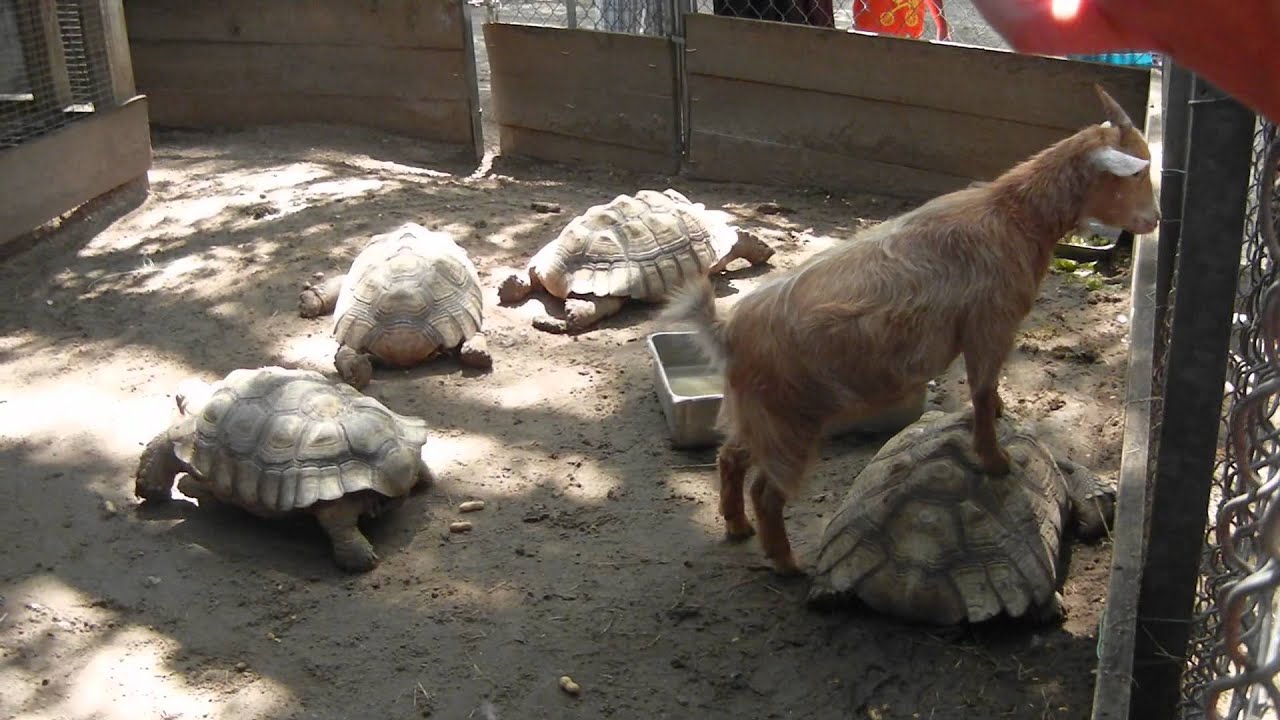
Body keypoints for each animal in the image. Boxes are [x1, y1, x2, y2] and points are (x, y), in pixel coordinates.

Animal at [661, 85, 1158, 576]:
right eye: (1136, 173)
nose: (1153, 220)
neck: (1014, 215)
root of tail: (725, 331)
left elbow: (989, 390)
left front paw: (1000, 418)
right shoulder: (990, 324)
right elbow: (981, 391)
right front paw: (995, 460)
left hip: (756, 414)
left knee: (730, 457)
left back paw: (736, 526)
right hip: (787, 420)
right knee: (766, 492)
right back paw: (788, 564)